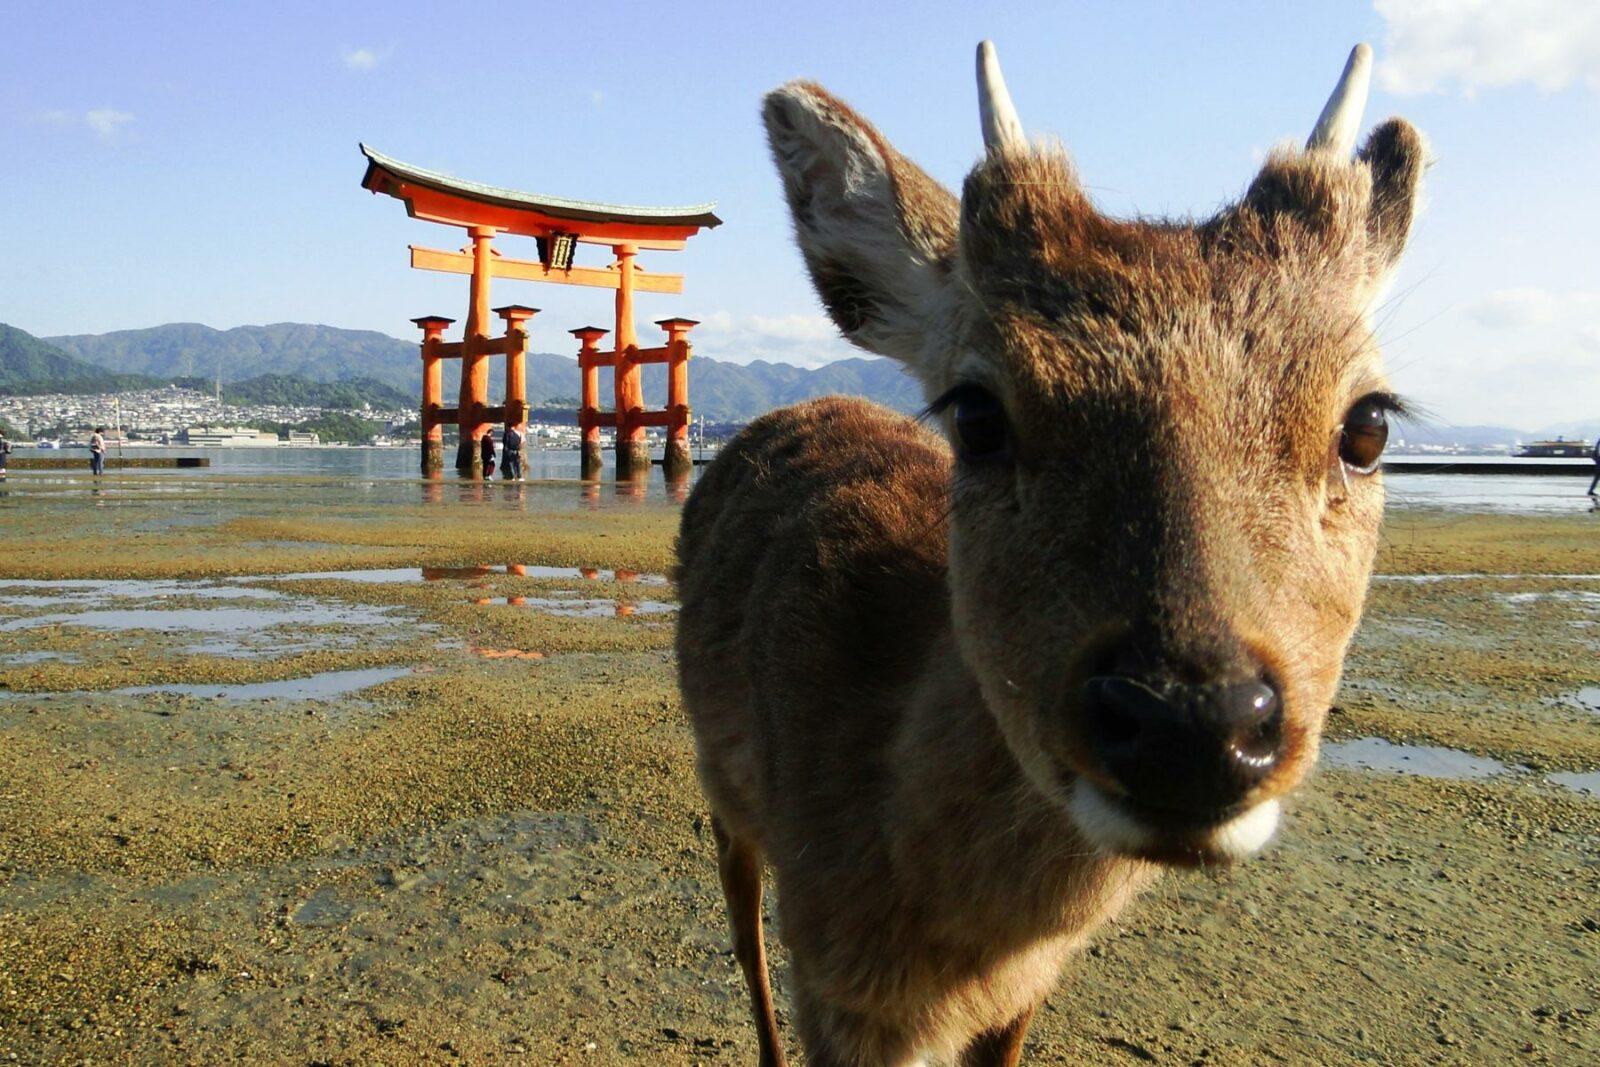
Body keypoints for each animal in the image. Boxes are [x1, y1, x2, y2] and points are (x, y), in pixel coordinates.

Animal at [675, 40, 1424, 1067]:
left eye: (1369, 423)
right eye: (978, 413)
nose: (1191, 722)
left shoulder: (1028, 988)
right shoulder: (830, 970)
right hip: (720, 784)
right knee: (742, 921)